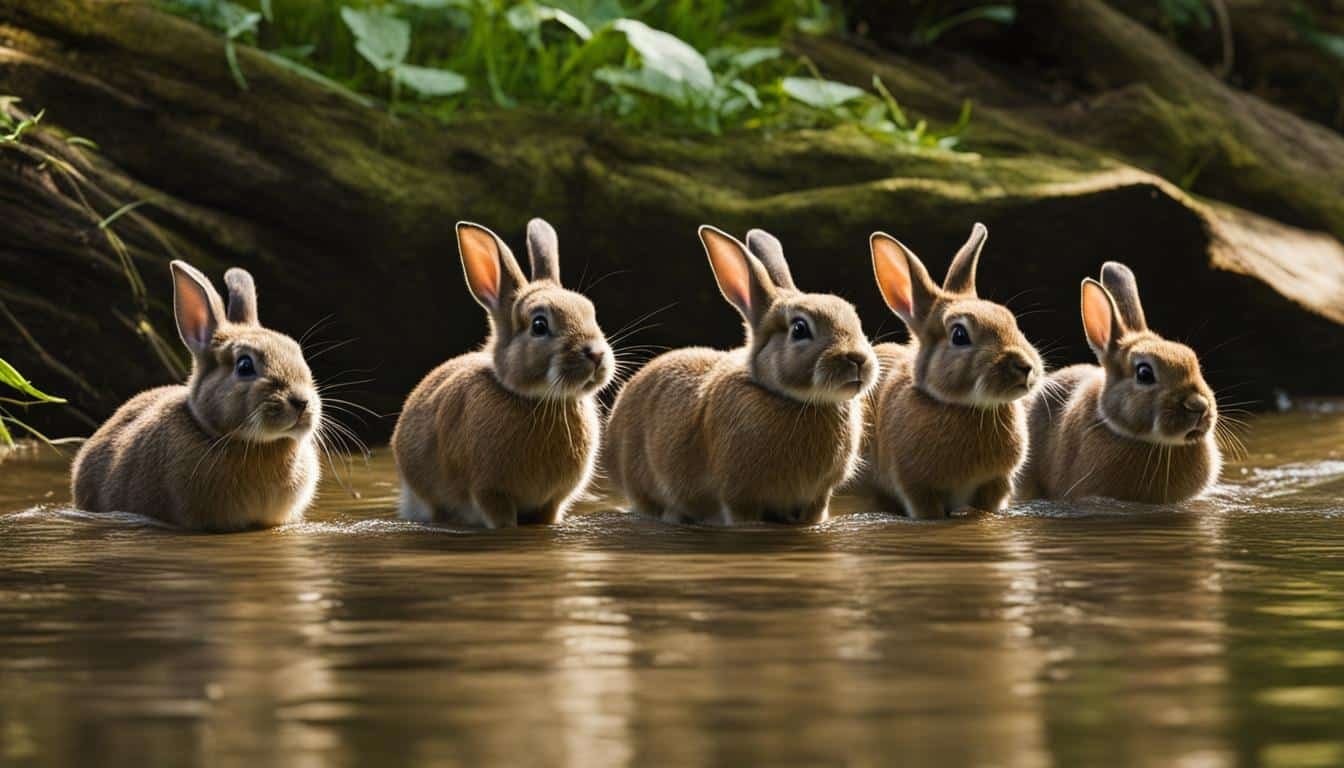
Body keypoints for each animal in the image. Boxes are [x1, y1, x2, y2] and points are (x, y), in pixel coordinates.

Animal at [391, 218, 614, 528]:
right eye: (539, 325)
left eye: (590, 311)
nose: (595, 354)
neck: (537, 400)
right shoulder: (490, 494)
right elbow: (502, 519)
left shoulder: (552, 502)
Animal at [604, 226, 878, 526]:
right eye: (800, 329)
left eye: (855, 318)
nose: (857, 359)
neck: (792, 399)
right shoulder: (740, 498)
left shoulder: (817, 498)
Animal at [854, 223, 1044, 519]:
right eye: (959, 335)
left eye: (1009, 319)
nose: (1025, 367)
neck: (966, 407)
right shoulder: (917, 488)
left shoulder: (995, 483)